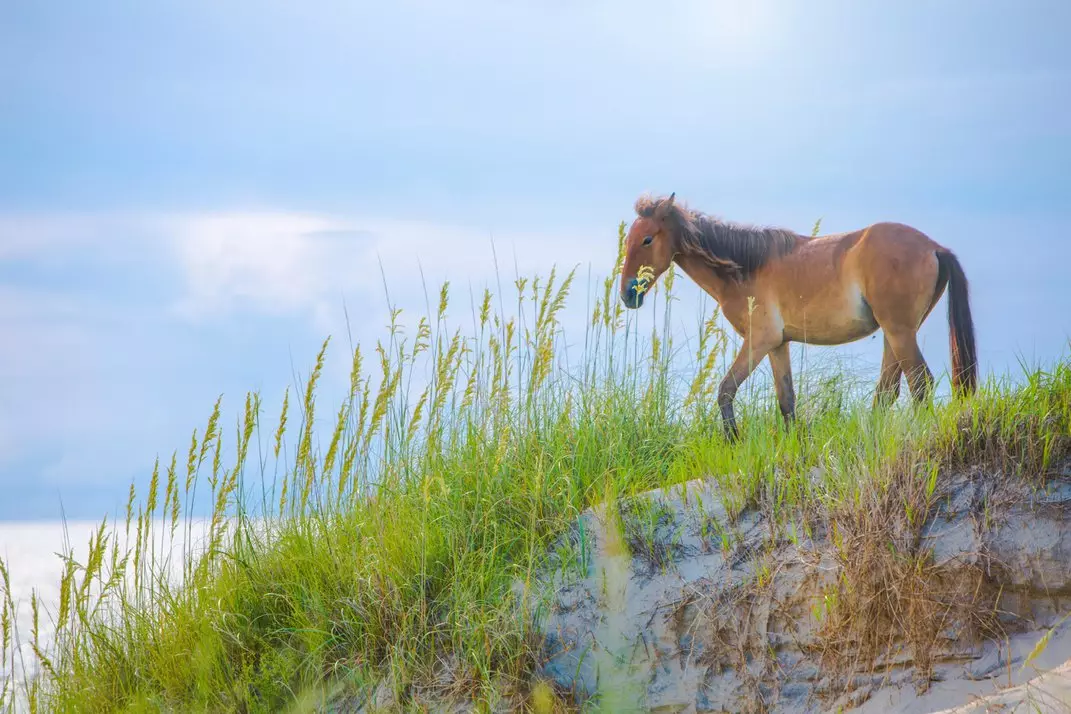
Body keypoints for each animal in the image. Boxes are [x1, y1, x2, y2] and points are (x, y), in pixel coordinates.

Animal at [621, 193, 981, 441]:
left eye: (647, 239)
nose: (627, 294)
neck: (744, 267)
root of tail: (934, 247)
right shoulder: (778, 345)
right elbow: (786, 400)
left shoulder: (759, 340)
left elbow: (725, 389)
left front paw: (733, 440)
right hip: (895, 334)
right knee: (888, 392)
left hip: (899, 332)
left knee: (920, 383)